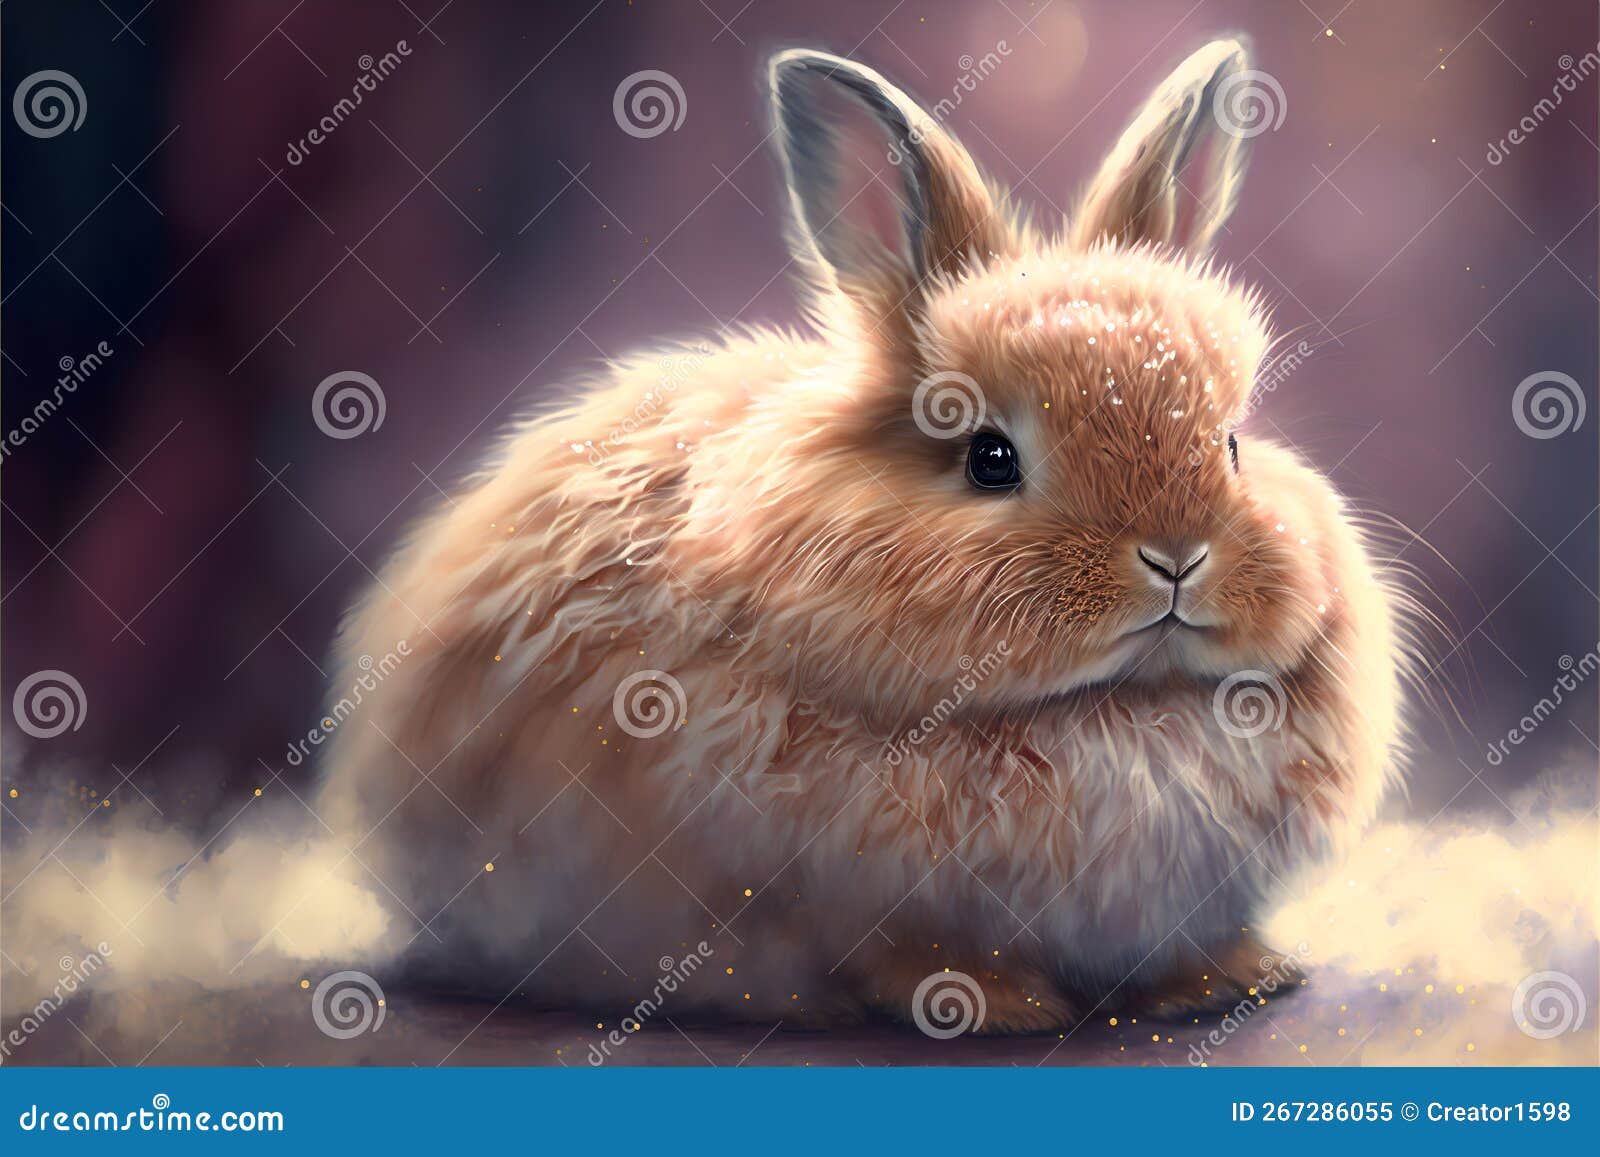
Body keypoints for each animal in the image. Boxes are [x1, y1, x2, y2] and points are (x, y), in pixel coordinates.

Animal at [313, 38, 1406, 1035]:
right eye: (990, 457)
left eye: (1230, 442)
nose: (1175, 557)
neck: (1115, 706)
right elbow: (898, 949)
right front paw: (996, 1004)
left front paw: (1230, 980)